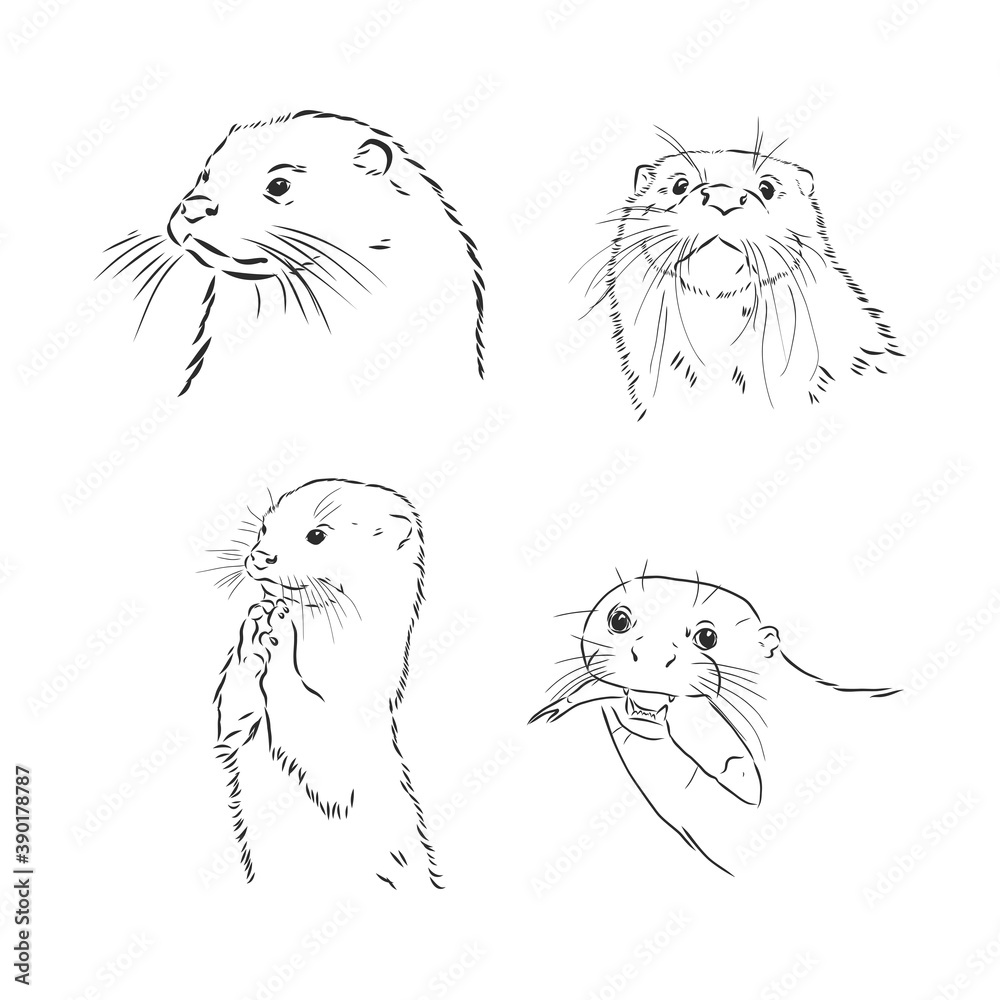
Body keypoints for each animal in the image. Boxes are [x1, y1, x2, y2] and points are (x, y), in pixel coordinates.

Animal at [211, 477, 442, 889]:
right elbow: (231, 720)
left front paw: (280, 634)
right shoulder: (236, 734)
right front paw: (253, 634)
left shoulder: (341, 742)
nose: (261, 556)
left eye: (316, 535)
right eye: (264, 529)